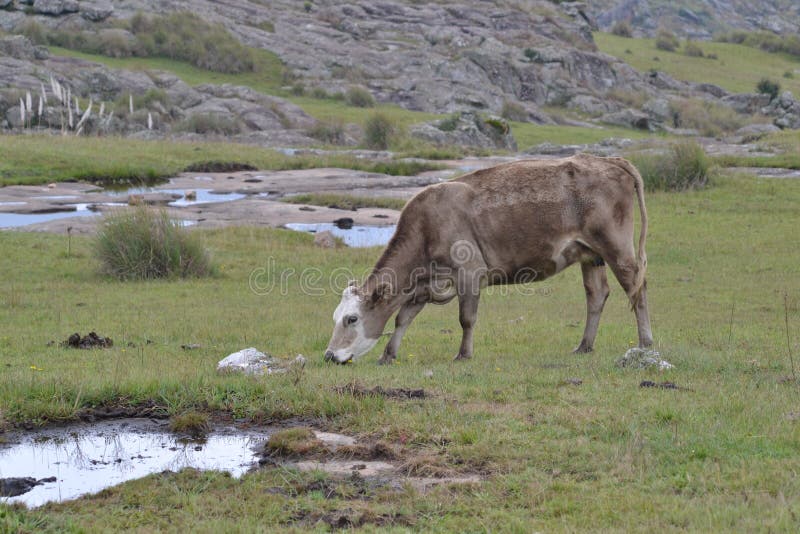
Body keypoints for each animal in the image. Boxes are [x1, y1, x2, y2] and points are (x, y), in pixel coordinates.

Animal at [324, 154, 652, 364]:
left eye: (352, 319)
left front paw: (463, 355)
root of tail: (609, 160)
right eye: (335, 317)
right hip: (590, 254)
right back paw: (584, 346)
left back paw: (645, 344)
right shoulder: (425, 284)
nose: (329, 355)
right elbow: (403, 318)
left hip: (616, 246)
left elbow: (466, 318)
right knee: (597, 295)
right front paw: (388, 354)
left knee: (637, 289)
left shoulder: (469, 273)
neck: (427, 226)